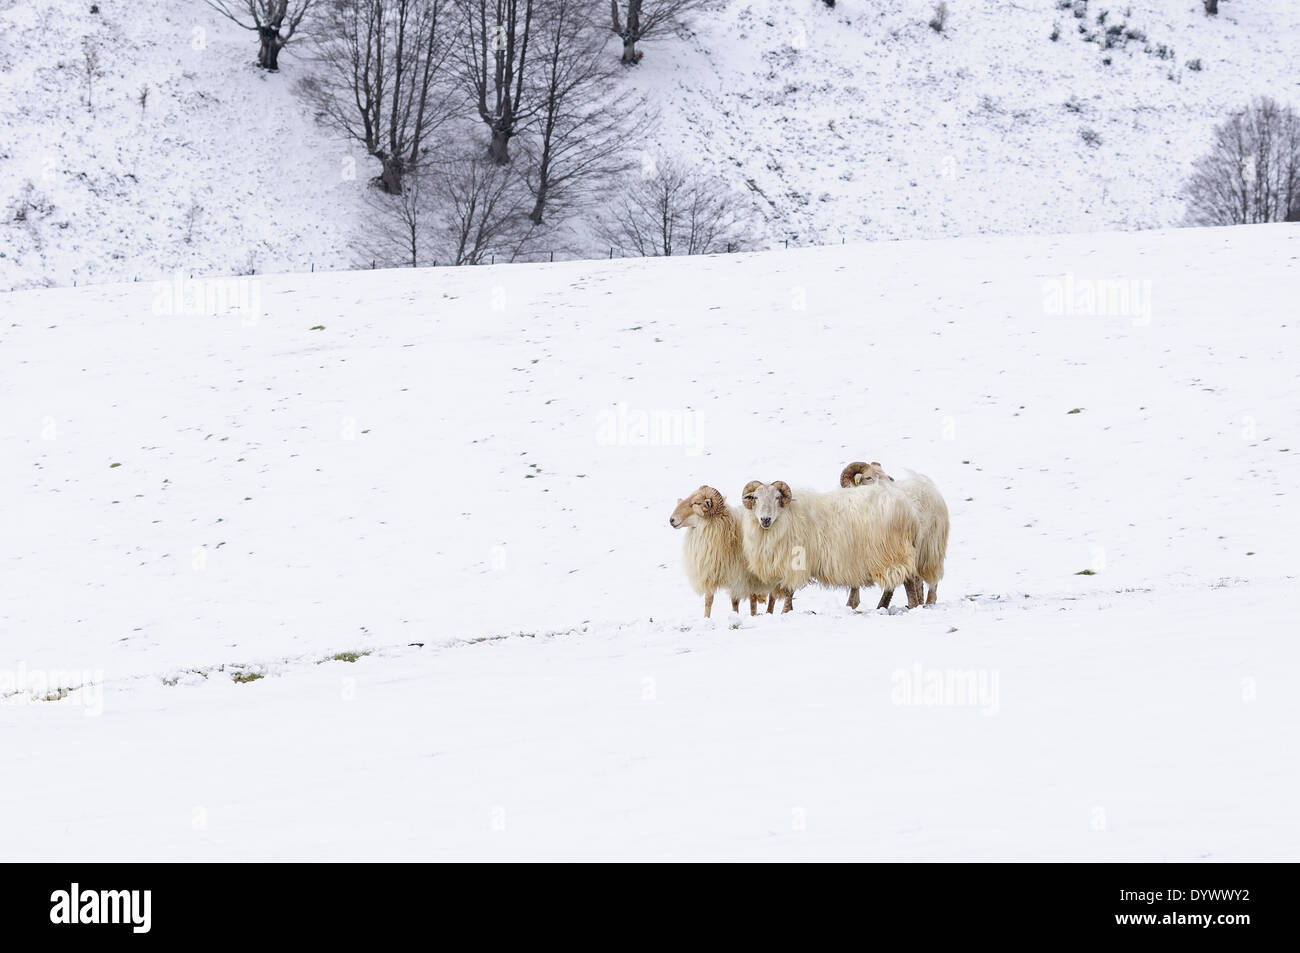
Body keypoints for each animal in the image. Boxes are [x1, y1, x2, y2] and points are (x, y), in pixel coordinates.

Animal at [669, 485, 775, 617]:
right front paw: (708, 618)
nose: (671, 520)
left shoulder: (746, 577)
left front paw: (752, 616)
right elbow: (713, 601)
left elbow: (752, 601)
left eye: (697, 503)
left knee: (773, 597)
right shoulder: (714, 574)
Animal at [739, 479, 920, 612]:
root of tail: (909, 509)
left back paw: (909, 605)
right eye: (755, 498)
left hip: (890, 552)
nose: (765, 519)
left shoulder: (793, 564)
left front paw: (785, 612)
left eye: (777, 498)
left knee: (906, 580)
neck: (786, 517)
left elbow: (789, 592)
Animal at [840, 461, 950, 608]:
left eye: (886, 476)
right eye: (868, 477)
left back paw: (928, 603)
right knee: (918, 580)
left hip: (931, 547)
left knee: (932, 579)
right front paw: (851, 605)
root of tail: (923, 481)